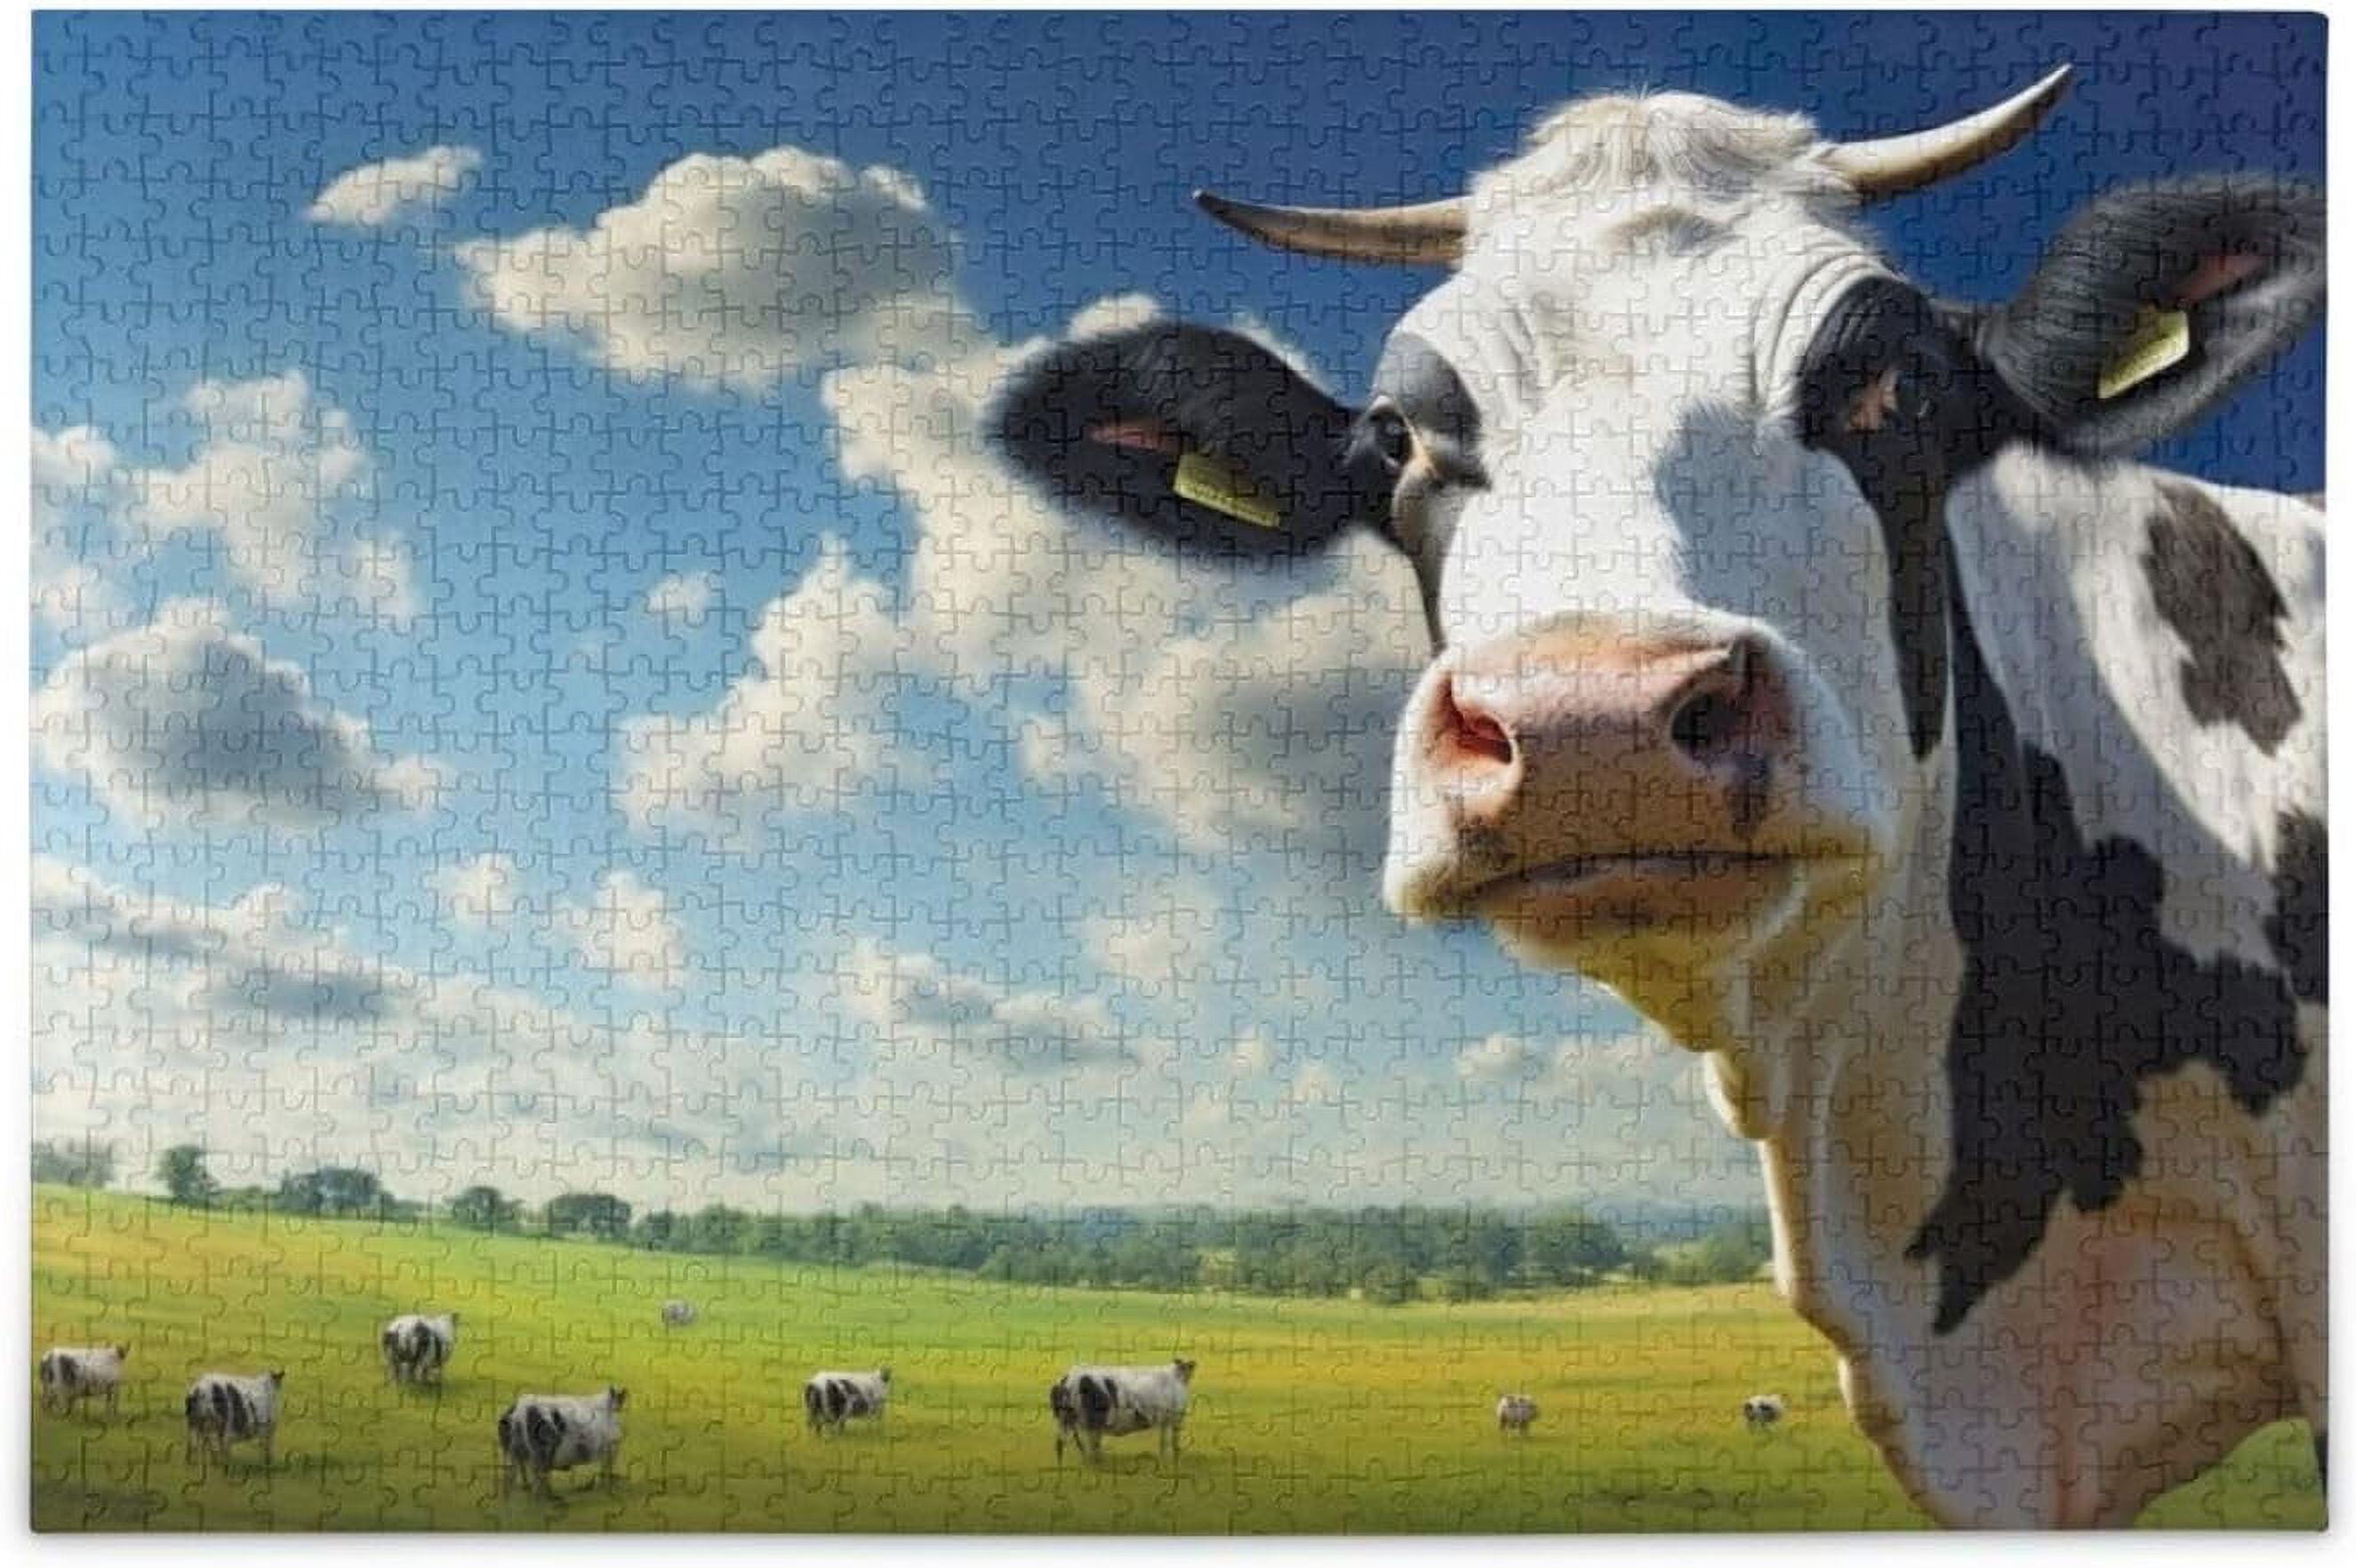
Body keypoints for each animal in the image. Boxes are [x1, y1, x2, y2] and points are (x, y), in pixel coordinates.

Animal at [497, 1387, 627, 1499]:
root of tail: (519, 1412)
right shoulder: (611, 1449)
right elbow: (607, 1468)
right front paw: (605, 1488)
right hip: (541, 1451)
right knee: (537, 1472)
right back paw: (544, 1496)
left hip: (517, 1451)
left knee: (520, 1470)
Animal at [1049, 1360, 1195, 1463]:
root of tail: (1067, 1380)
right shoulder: (1172, 1417)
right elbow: (1169, 1441)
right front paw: (1170, 1459)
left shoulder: (1167, 1419)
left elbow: (1165, 1441)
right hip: (1086, 1420)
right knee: (1087, 1443)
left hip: (1066, 1419)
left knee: (1063, 1443)